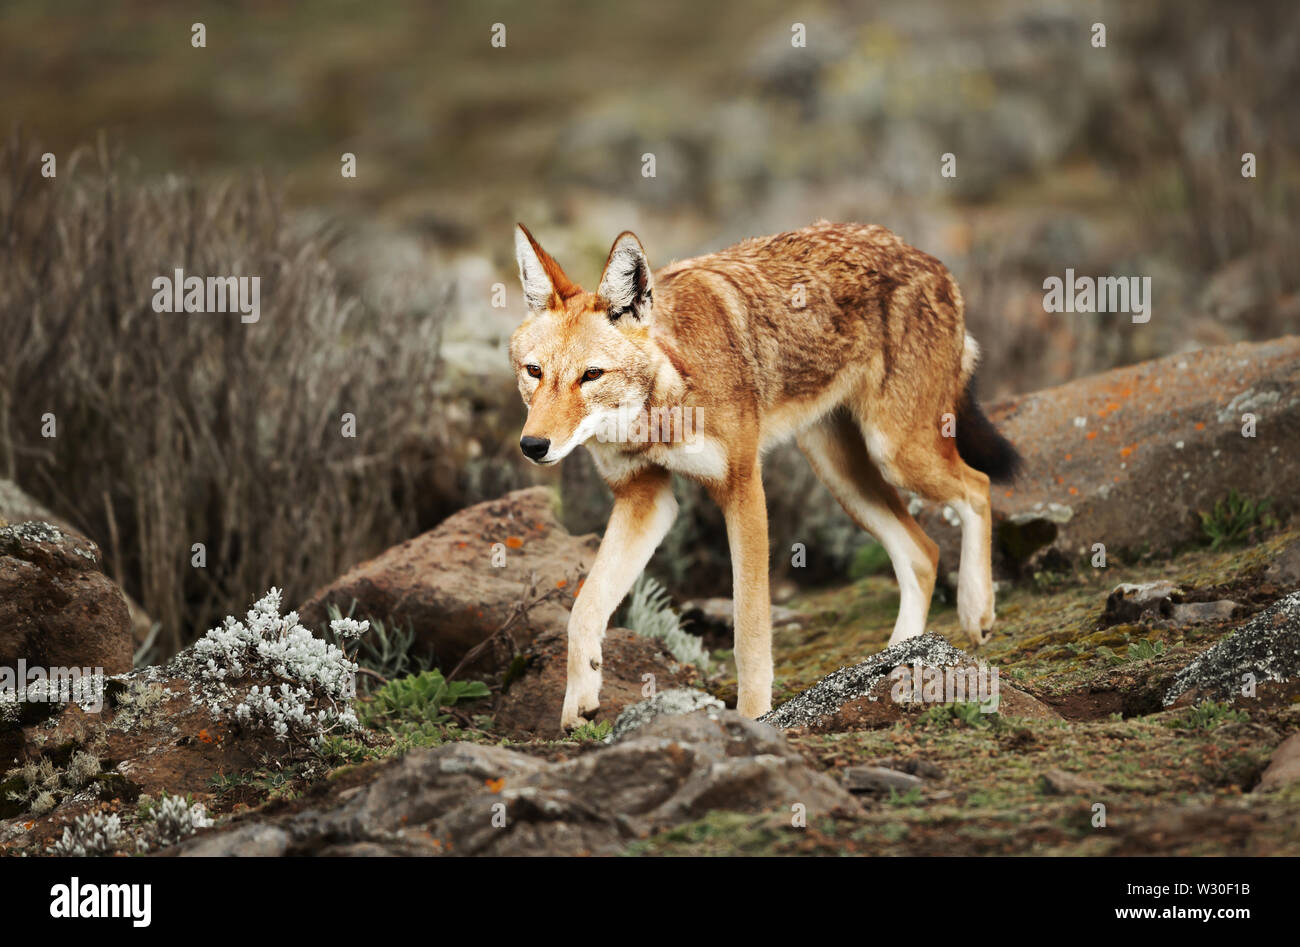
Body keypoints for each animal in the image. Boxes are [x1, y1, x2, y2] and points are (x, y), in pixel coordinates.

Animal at [509, 221, 1020, 729]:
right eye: (534, 372)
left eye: (591, 375)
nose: (533, 446)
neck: (665, 403)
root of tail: (927, 258)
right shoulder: (644, 499)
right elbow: (582, 609)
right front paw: (579, 700)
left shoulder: (742, 487)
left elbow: (750, 633)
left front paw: (752, 719)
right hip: (841, 473)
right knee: (924, 553)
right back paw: (897, 657)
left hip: (896, 453)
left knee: (978, 488)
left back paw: (976, 612)